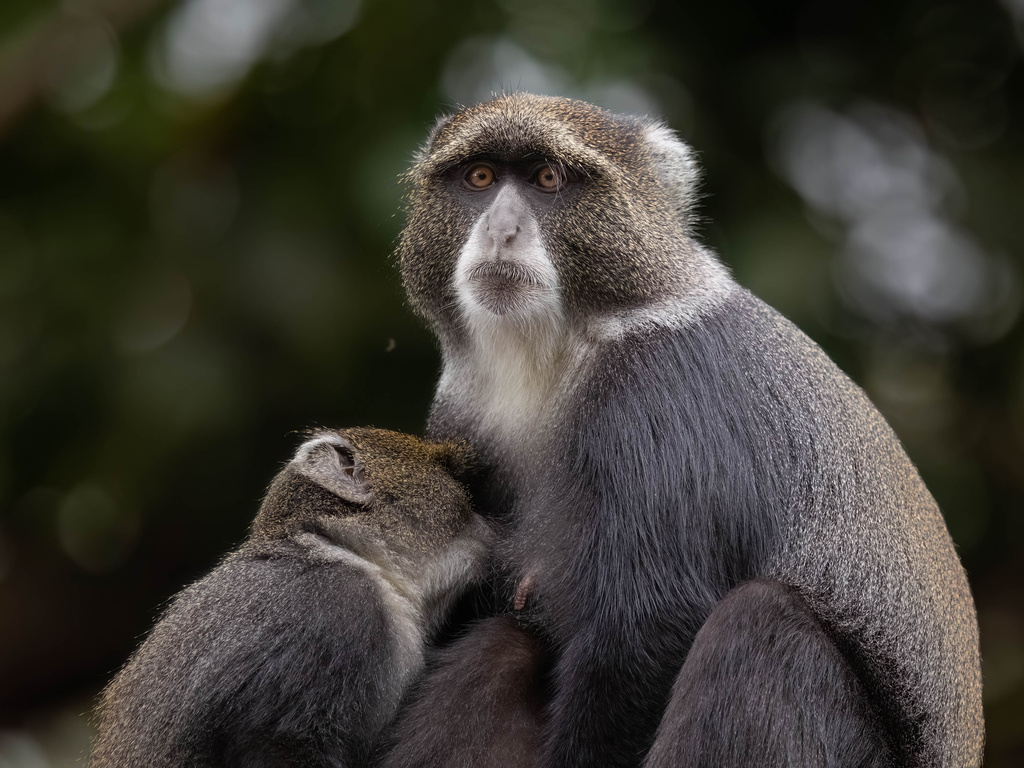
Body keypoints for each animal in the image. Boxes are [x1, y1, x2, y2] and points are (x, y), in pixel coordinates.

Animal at [396, 93, 984, 768]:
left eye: (548, 179)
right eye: (480, 178)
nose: (502, 230)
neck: (556, 352)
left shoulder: (651, 394)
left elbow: (651, 625)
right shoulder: (460, 412)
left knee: (758, 623)